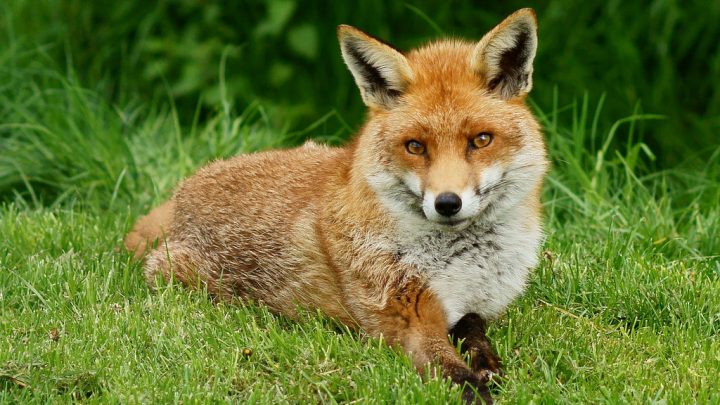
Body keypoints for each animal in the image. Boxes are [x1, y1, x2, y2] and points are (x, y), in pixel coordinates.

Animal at [125, 8, 547, 404]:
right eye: (415, 146)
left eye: (481, 140)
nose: (447, 203)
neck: (465, 264)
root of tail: (183, 190)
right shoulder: (402, 317)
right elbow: (451, 370)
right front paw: (478, 388)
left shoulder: (473, 305)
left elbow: (474, 331)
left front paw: (489, 364)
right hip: (181, 276)